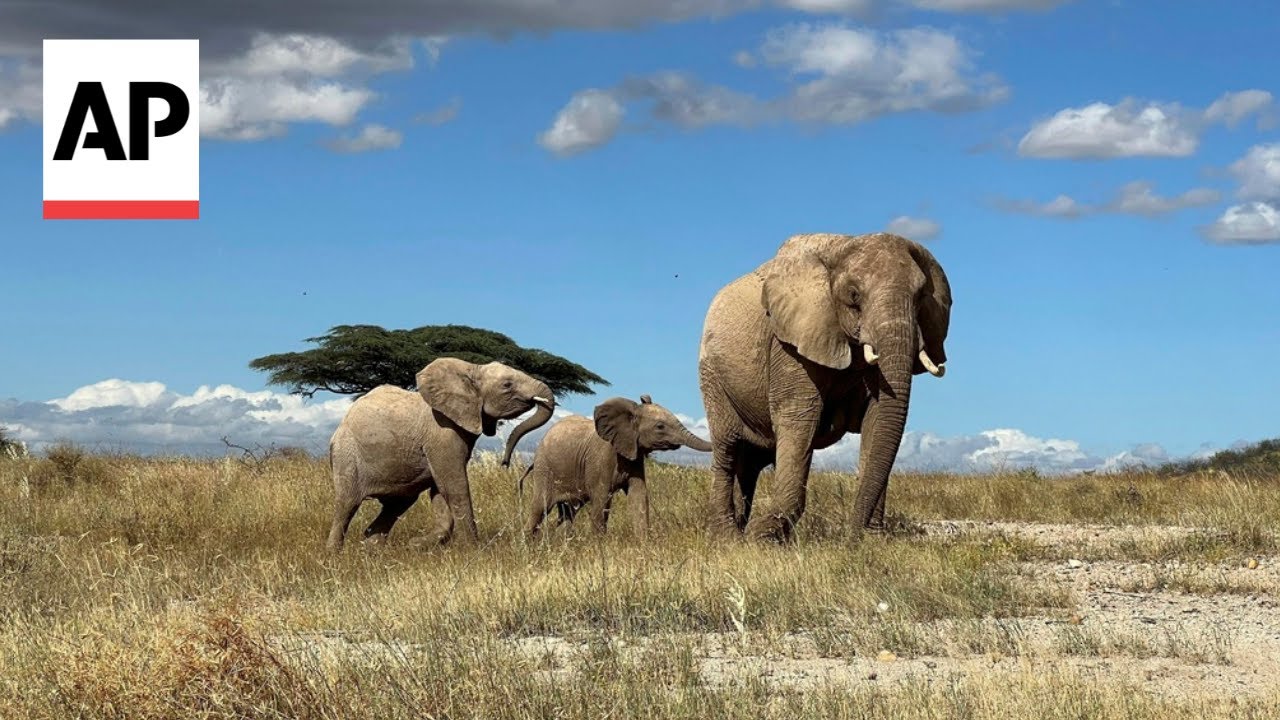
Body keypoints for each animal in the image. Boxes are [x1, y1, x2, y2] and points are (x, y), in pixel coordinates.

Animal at [326, 357, 555, 550]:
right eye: (507, 385)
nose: (504, 463)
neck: (471, 369)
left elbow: (440, 490)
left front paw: (416, 544)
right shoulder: (442, 431)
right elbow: (454, 485)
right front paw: (473, 549)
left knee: (397, 504)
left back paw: (372, 550)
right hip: (347, 454)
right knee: (347, 504)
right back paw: (334, 555)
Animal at [519, 395, 712, 538]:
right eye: (660, 426)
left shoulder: (634, 455)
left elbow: (639, 496)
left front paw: (643, 543)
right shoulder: (601, 458)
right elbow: (602, 499)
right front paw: (599, 546)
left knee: (568, 512)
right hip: (545, 469)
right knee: (540, 507)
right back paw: (528, 545)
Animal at [698, 232, 952, 542]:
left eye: (920, 298)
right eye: (854, 296)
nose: (852, 537)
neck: (843, 246)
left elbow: (878, 421)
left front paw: (873, 540)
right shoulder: (789, 343)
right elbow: (798, 418)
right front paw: (764, 537)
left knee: (751, 461)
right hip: (712, 375)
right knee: (728, 447)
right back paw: (727, 537)